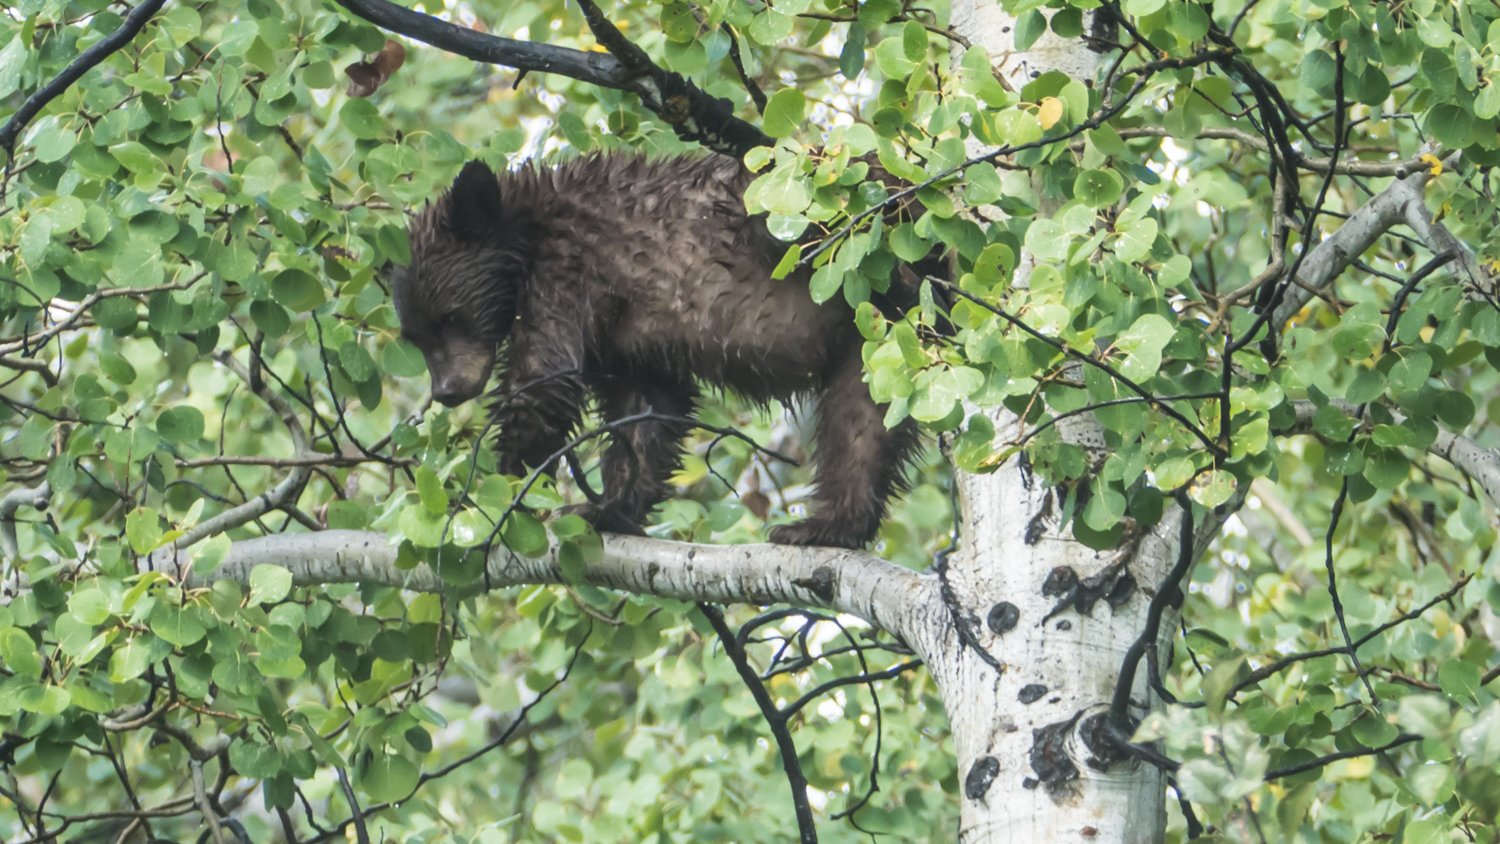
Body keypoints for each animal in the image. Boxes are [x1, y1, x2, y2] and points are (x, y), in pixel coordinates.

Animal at [389, 154, 923, 548]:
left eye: (449, 319)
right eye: (415, 338)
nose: (448, 391)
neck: (526, 234)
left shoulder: (566, 273)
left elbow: (544, 380)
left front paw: (499, 487)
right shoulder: (622, 342)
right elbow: (648, 409)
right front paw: (606, 507)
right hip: (875, 345)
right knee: (862, 423)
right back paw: (823, 527)